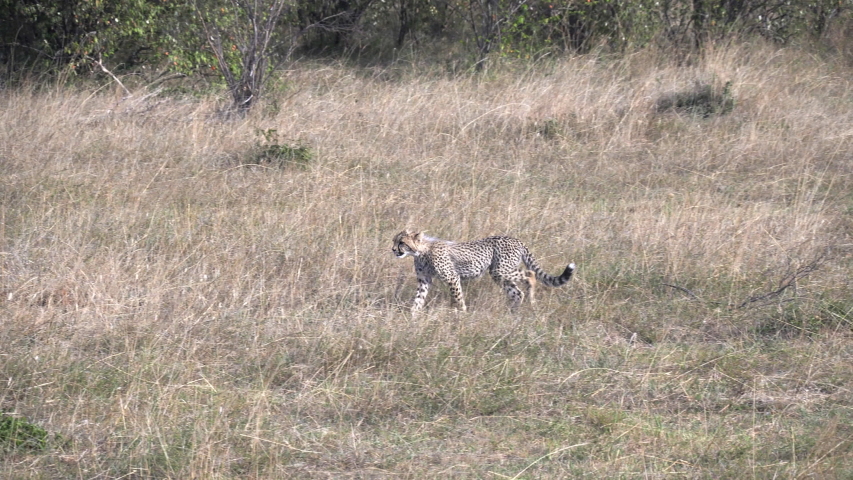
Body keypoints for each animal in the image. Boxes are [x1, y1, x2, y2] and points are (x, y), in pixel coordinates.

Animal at [392, 230, 575, 312]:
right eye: (394, 241)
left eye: (402, 242)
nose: (393, 250)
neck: (421, 251)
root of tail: (516, 239)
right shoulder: (424, 280)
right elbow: (418, 299)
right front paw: (413, 317)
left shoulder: (452, 277)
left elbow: (458, 298)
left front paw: (462, 314)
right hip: (499, 274)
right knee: (517, 292)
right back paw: (513, 313)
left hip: (500, 270)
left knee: (531, 275)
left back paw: (530, 300)